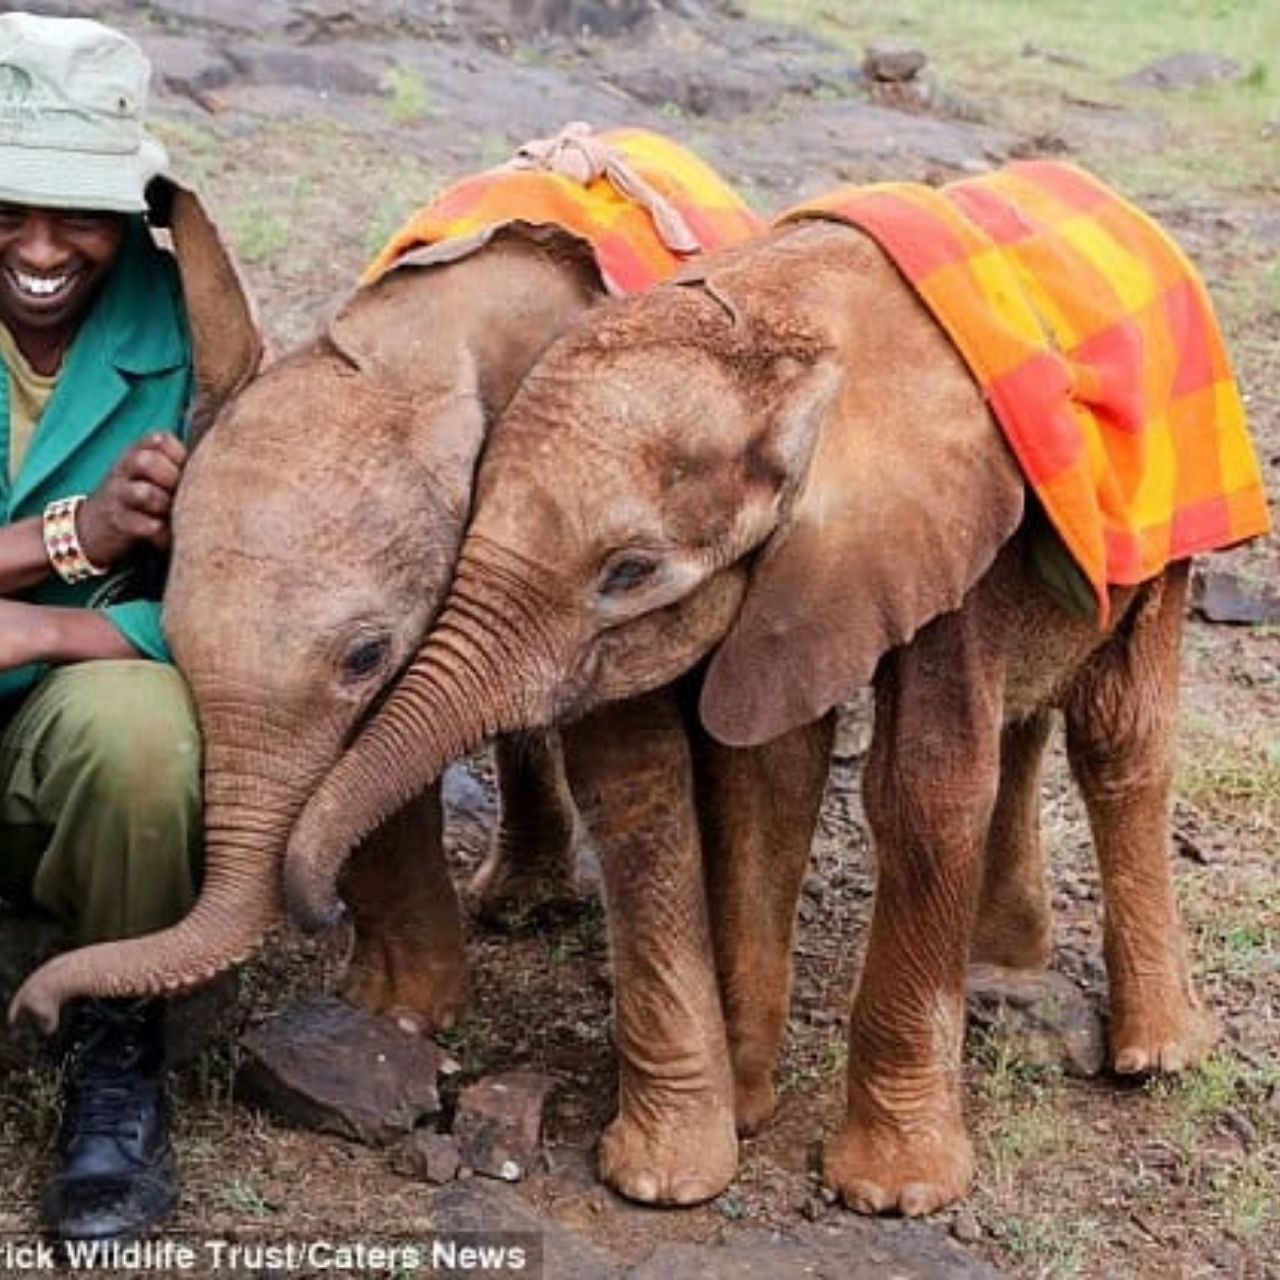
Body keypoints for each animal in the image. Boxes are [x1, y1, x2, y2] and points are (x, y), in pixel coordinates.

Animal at [272, 213, 1232, 1216]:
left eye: (629, 572)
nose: (316, 911)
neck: (775, 331)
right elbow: (765, 778)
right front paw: (738, 1116)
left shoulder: (946, 517)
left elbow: (923, 792)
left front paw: (889, 1195)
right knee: (1027, 714)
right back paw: (1004, 963)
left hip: (1171, 529)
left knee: (1120, 736)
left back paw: (1157, 1055)